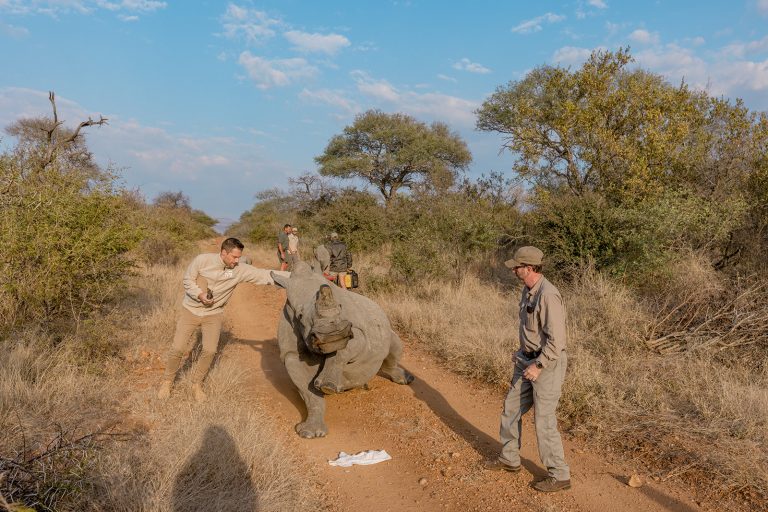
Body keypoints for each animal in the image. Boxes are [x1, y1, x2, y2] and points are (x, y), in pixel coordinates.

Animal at [271, 262, 413, 438]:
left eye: (340, 306)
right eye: (300, 316)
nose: (334, 336)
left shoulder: (356, 331)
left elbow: (346, 350)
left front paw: (327, 385)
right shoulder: (291, 352)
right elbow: (309, 392)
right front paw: (311, 432)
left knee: (394, 345)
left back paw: (404, 379)